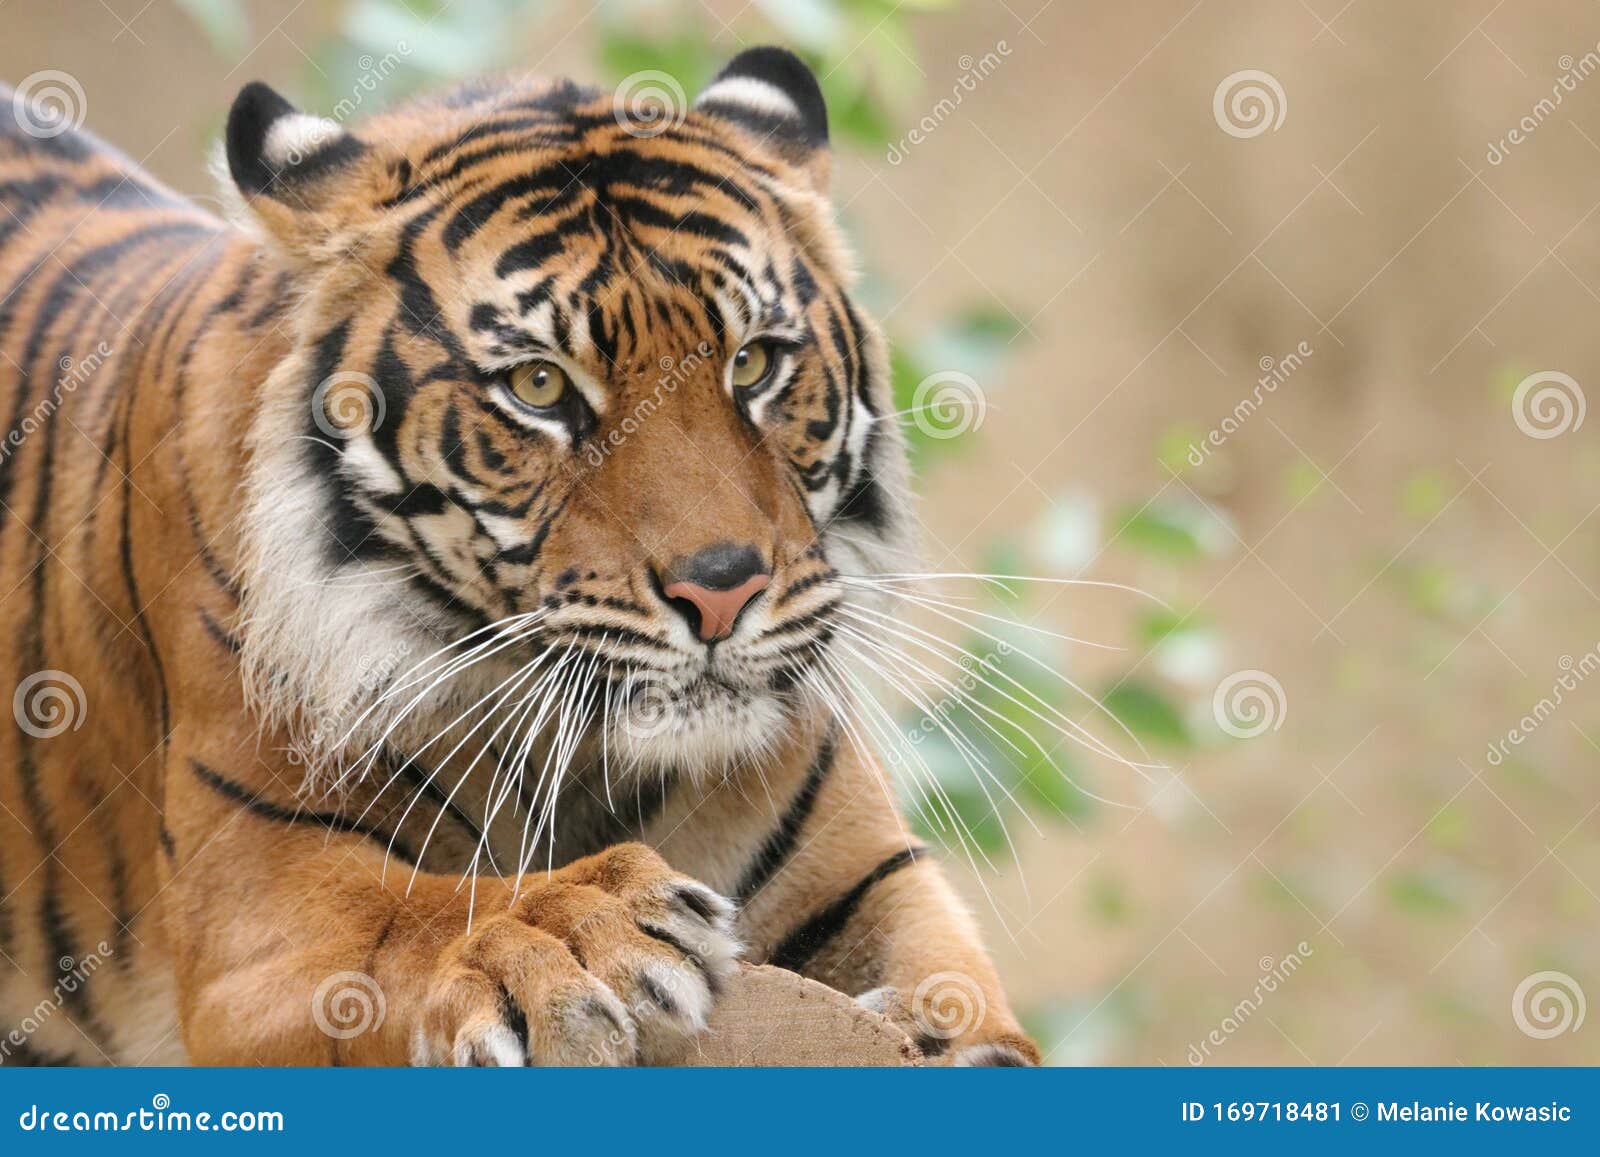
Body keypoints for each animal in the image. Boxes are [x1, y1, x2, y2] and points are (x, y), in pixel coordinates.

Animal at [0, 47, 1039, 1067]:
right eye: (540, 386)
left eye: (753, 363)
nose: (722, 589)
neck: (586, 760)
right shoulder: (257, 905)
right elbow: (413, 914)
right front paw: (571, 929)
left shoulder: (870, 873)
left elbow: (958, 993)